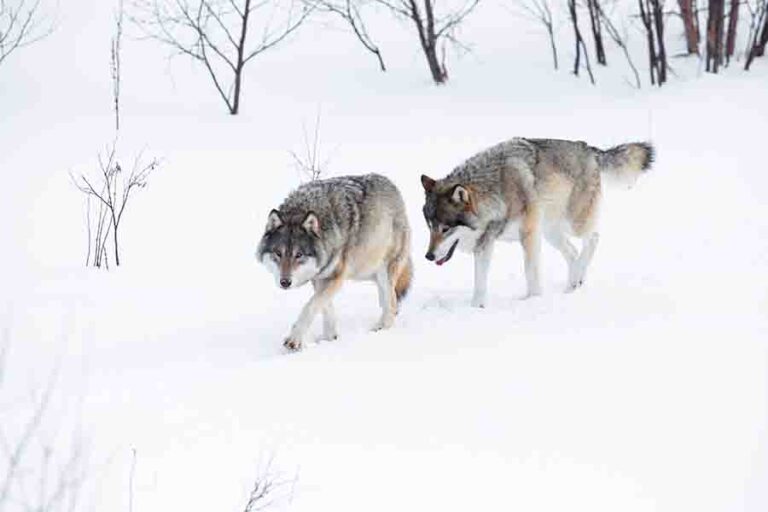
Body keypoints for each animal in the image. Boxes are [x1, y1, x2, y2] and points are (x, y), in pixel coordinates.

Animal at [257, 173, 412, 351]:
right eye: (278, 253)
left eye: (299, 255)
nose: (285, 282)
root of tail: (392, 185)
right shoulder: (320, 276)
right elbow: (325, 306)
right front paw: (329, 337)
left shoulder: (336, 277)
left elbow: (310, 306)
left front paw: (294, 339)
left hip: (383, 271)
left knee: (391, 303)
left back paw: (381, 329)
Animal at [420, 137, 654, 306]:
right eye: (430, 226)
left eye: (446, 229)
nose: (428, 256)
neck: (498, 191)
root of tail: (589, 149)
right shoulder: (485, 244)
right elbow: (479, 283)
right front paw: (477, 307)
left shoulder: (529, 235)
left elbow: (530, 272)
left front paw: (532, 300)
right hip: (551, 232)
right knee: (573, 252)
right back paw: (572, 284)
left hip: (574, 224)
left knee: (593, 238)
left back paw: (576, 278)